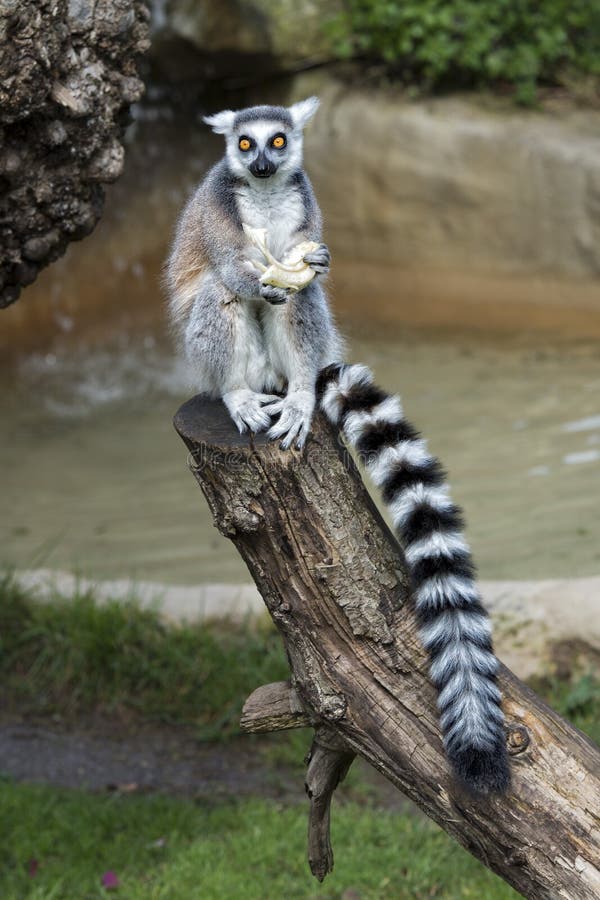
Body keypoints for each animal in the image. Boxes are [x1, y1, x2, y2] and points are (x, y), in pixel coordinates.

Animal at [166, 98, 510, 794]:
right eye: (245, 145)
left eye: (277, 141)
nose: (262, 164)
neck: (267, 195)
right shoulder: (219, 210)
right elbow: (236, 270)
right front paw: (260, 279)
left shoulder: (306, 211)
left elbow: (309, 268)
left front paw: (311, 267)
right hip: (208, 352)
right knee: (223, 294)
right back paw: (240, 395)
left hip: (298, 350)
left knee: (303, 304)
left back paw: (299, 393)